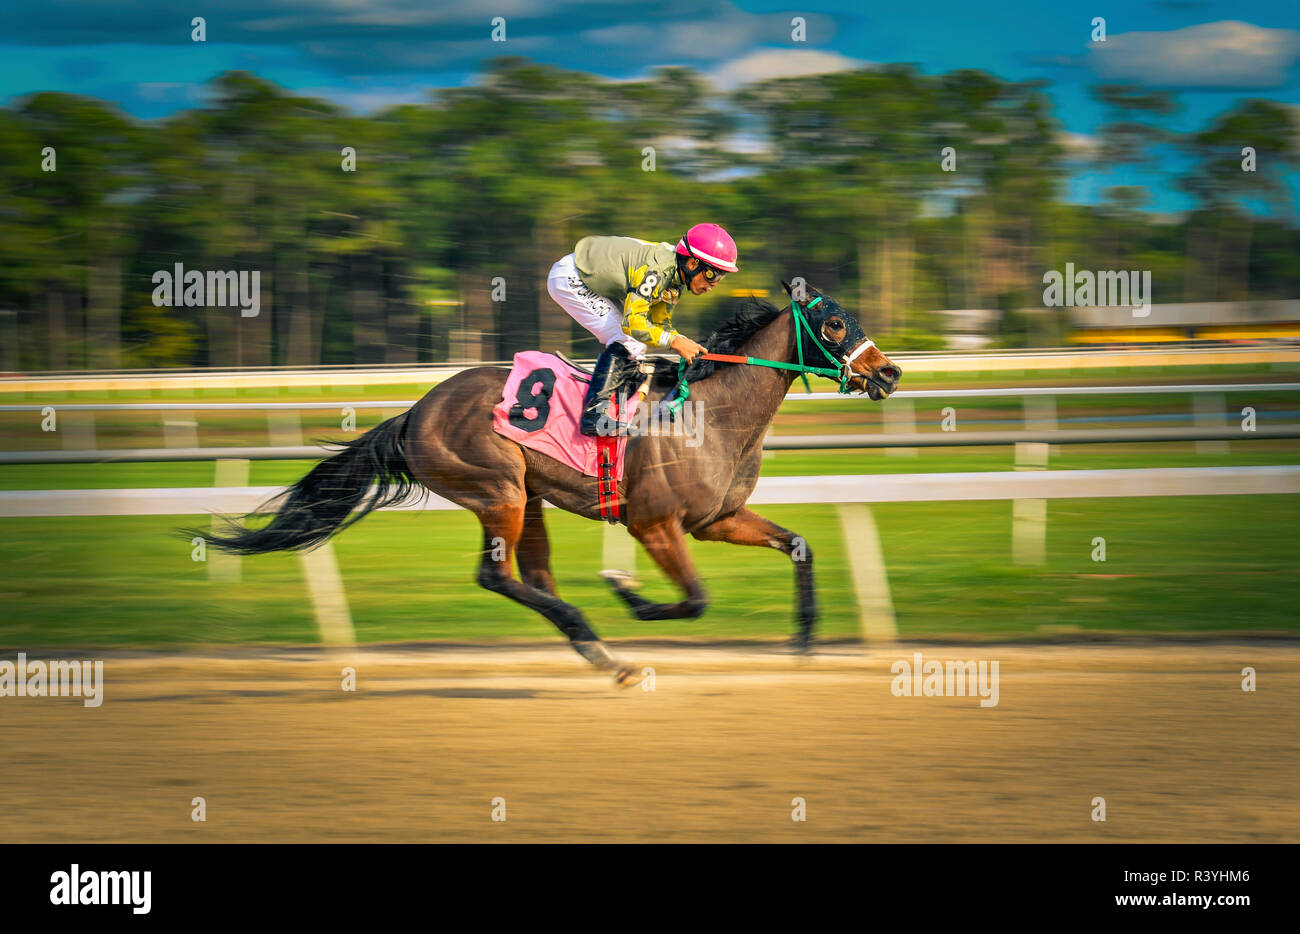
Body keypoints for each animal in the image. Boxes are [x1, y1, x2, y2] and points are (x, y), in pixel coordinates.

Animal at [197, 281, 902, 686]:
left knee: (531, 576)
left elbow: (799, 546)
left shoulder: (715, 521)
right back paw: (598, 641)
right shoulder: (654, 523)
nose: (889, 373)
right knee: (496, 576)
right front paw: (631, 596)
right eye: (834, 324)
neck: (713, 411)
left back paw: (596, 648)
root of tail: (414, 412)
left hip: (528, 496)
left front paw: (804, 641)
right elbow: (696, 599)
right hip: (497, 488)